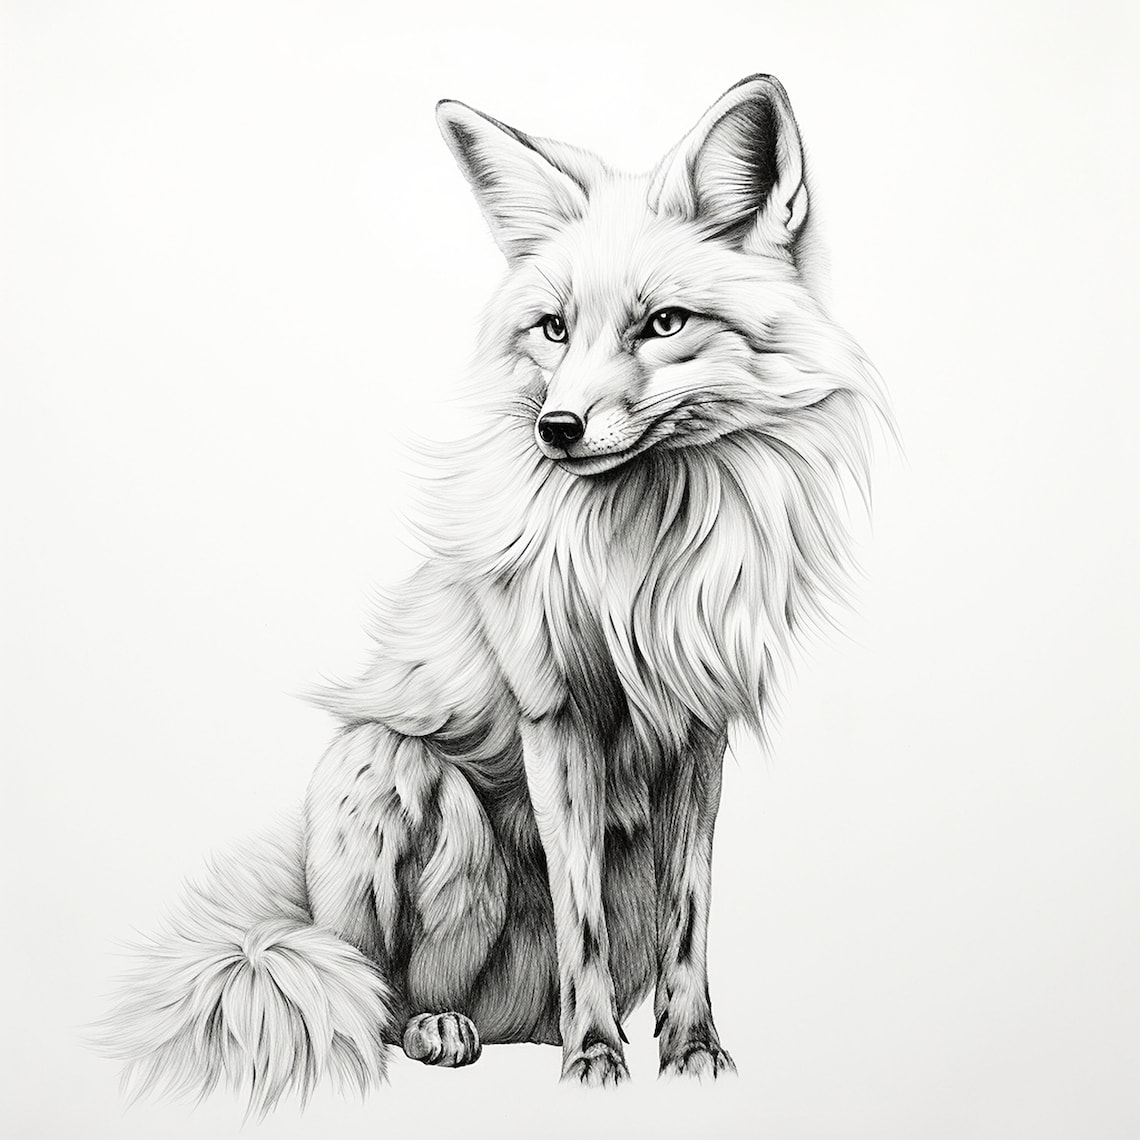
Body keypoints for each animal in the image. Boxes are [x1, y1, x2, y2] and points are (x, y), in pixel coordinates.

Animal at [99, 74, 888, 1111]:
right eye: (553, 329)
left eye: (664, 324)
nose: (558, 427)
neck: (644, 560)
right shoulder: (554, 715)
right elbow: (577, 911)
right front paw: (595, 1059)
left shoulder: (701, 730)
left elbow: (693, 914)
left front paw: (692, 1050)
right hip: (380, 765)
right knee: (368, 995)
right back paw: (449, 1026)